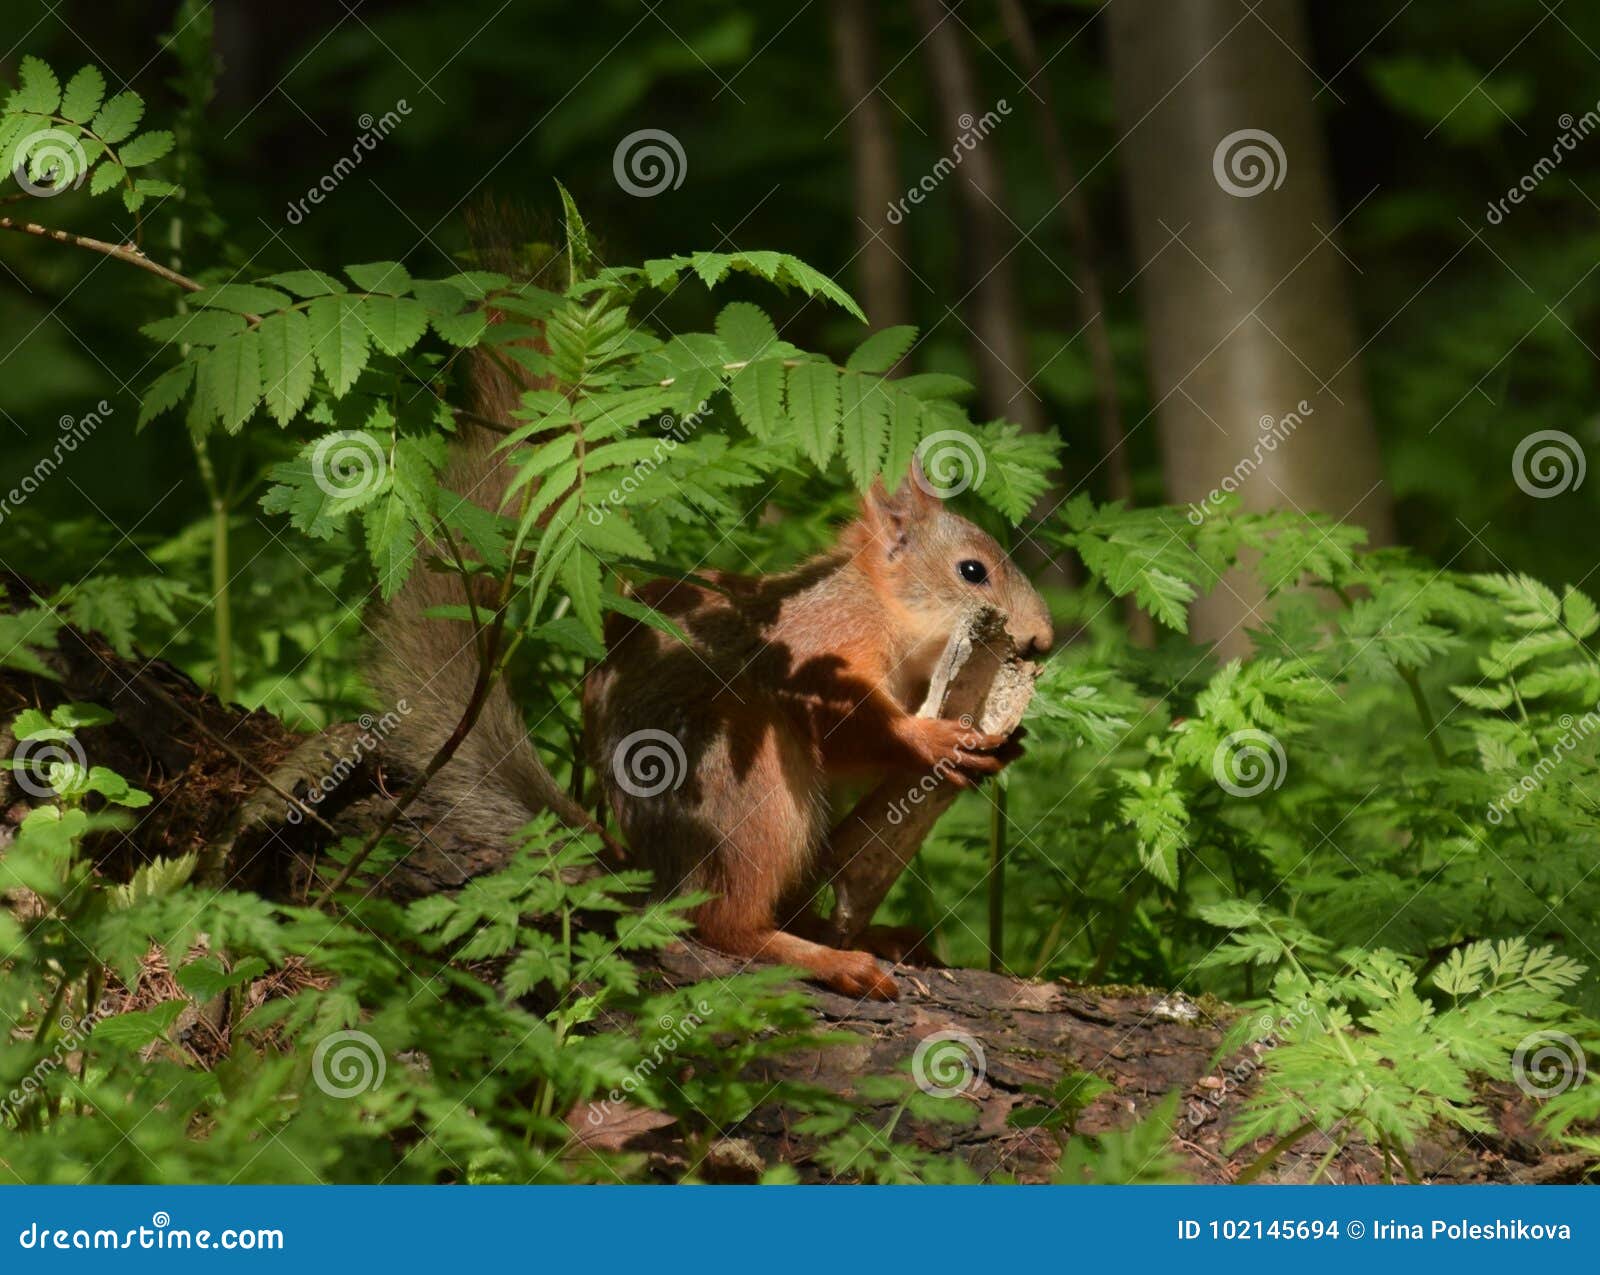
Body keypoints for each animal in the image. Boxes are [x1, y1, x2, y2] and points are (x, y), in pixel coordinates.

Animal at [369, 218, 1052, 996]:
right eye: (972, 571)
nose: (1043, 638)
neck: (887, 612)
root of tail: (656, 873)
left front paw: (1005, 745)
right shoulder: (817, 645)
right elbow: (846, 726)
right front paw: (930, 741)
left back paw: (867, 935)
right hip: (747, 786)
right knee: (724, 924)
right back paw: (831, 957)